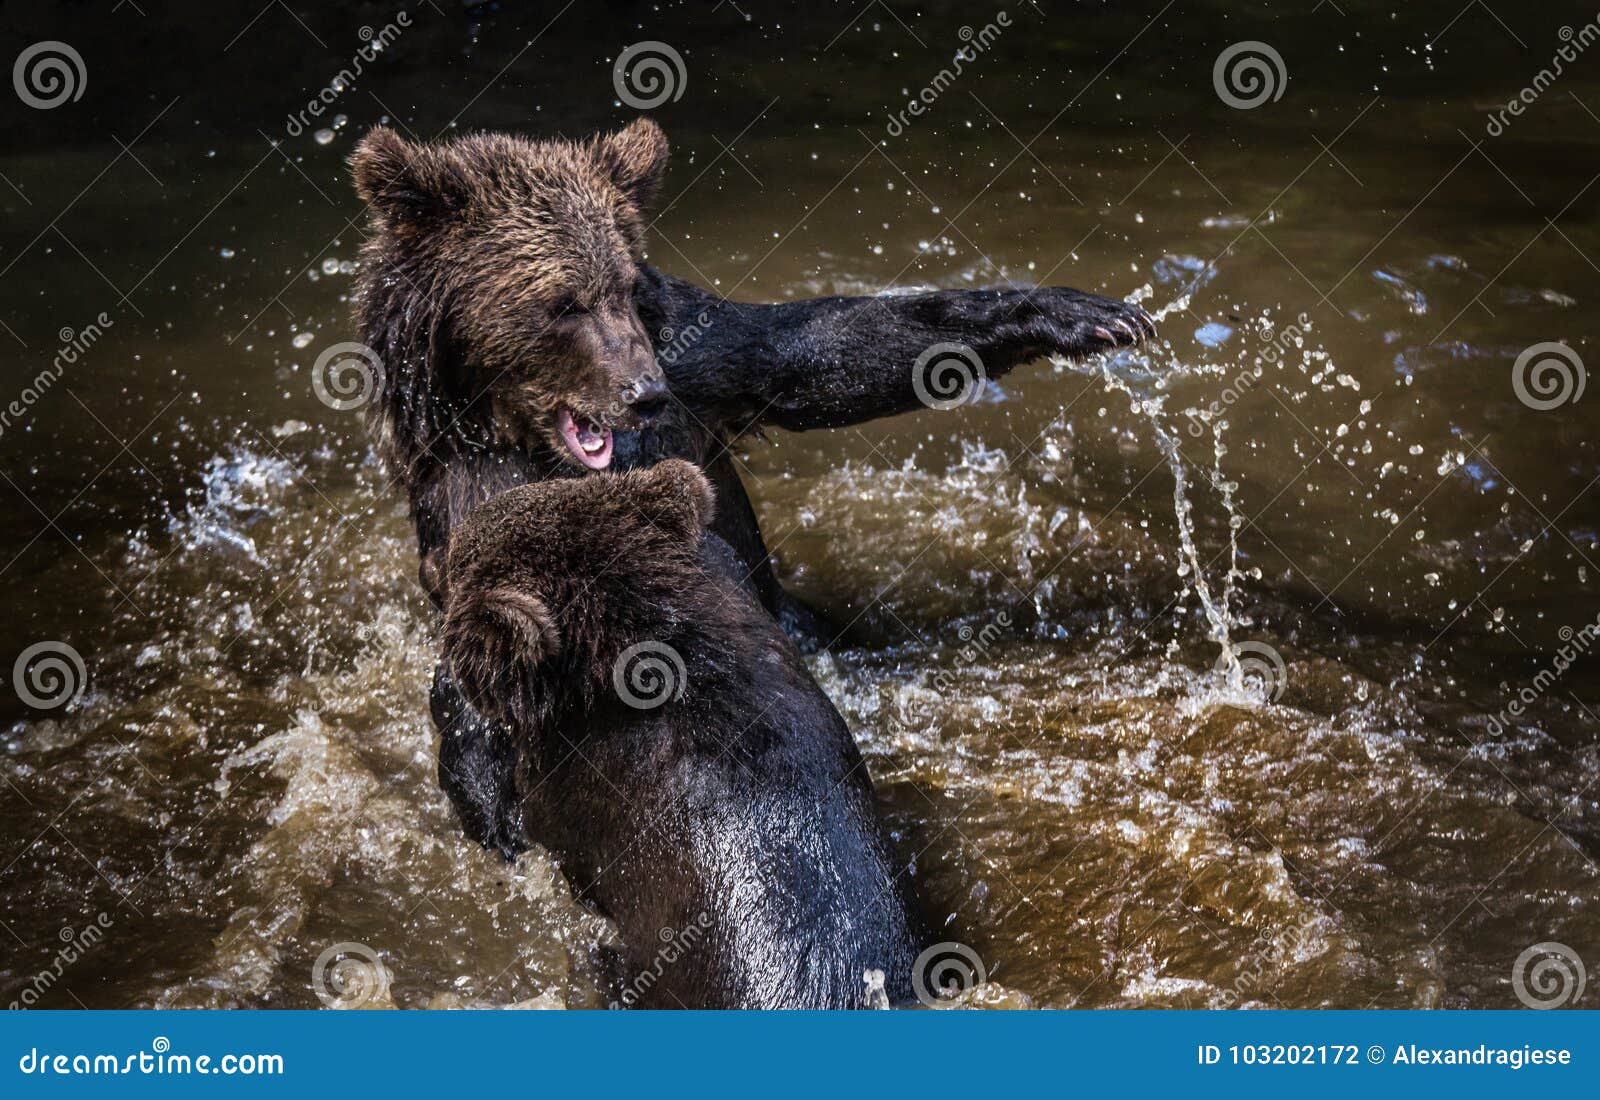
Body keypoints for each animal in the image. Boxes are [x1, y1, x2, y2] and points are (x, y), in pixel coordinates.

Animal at [349, 118, 1154, 856]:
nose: (642, 392)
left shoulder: (689, 351)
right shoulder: (467, 500)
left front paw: (1080, 314)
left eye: (619, 285)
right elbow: (482, 678)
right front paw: (503, 821)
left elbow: (820, 351)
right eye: (561, 302)